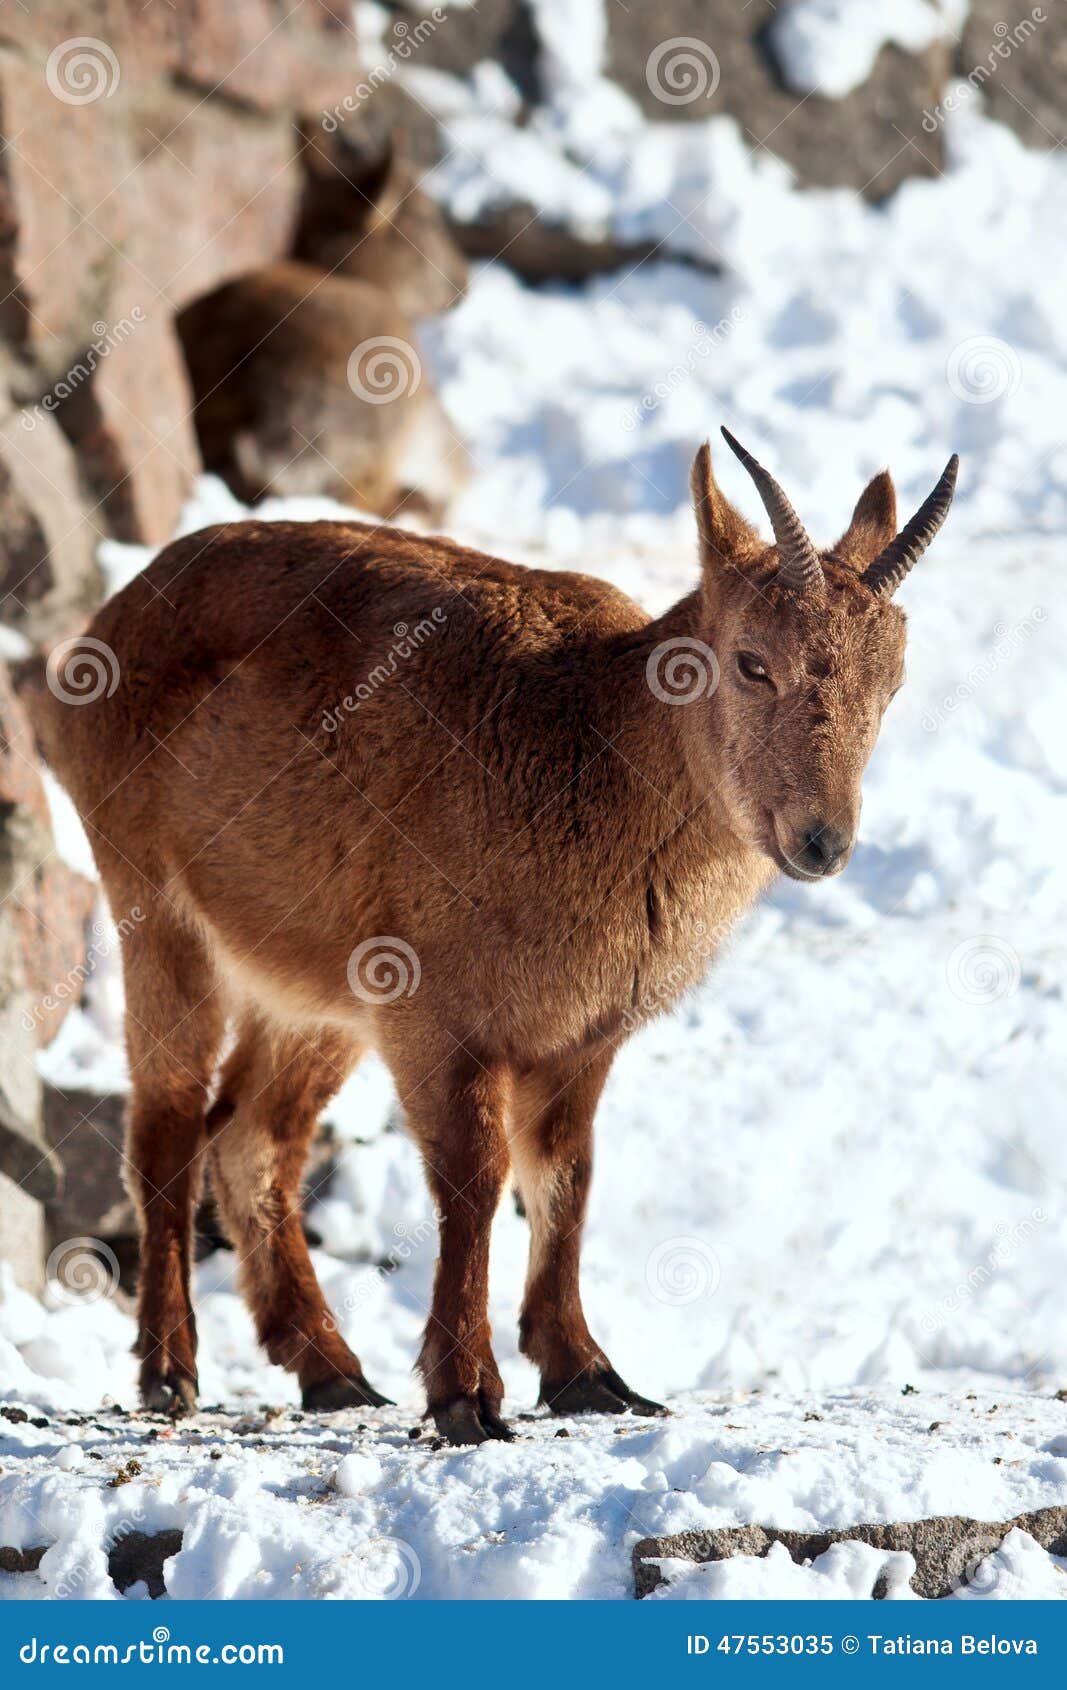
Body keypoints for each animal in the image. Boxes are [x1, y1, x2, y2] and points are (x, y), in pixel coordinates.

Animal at [34, 431, 957, 1442]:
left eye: (892, 680)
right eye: (753, 661)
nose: (822, 841)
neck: (590, 749)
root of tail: (108, 623)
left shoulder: (581, 1034)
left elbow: (566, 1176)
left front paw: (587, 1372)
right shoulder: (436, 1015)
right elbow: (473, 1181)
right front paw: (466, 1394)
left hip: (313, 994)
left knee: (251, 1139)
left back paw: (332, 1370)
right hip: (157, 911)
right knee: (166, 1126)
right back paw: (171, 1370)